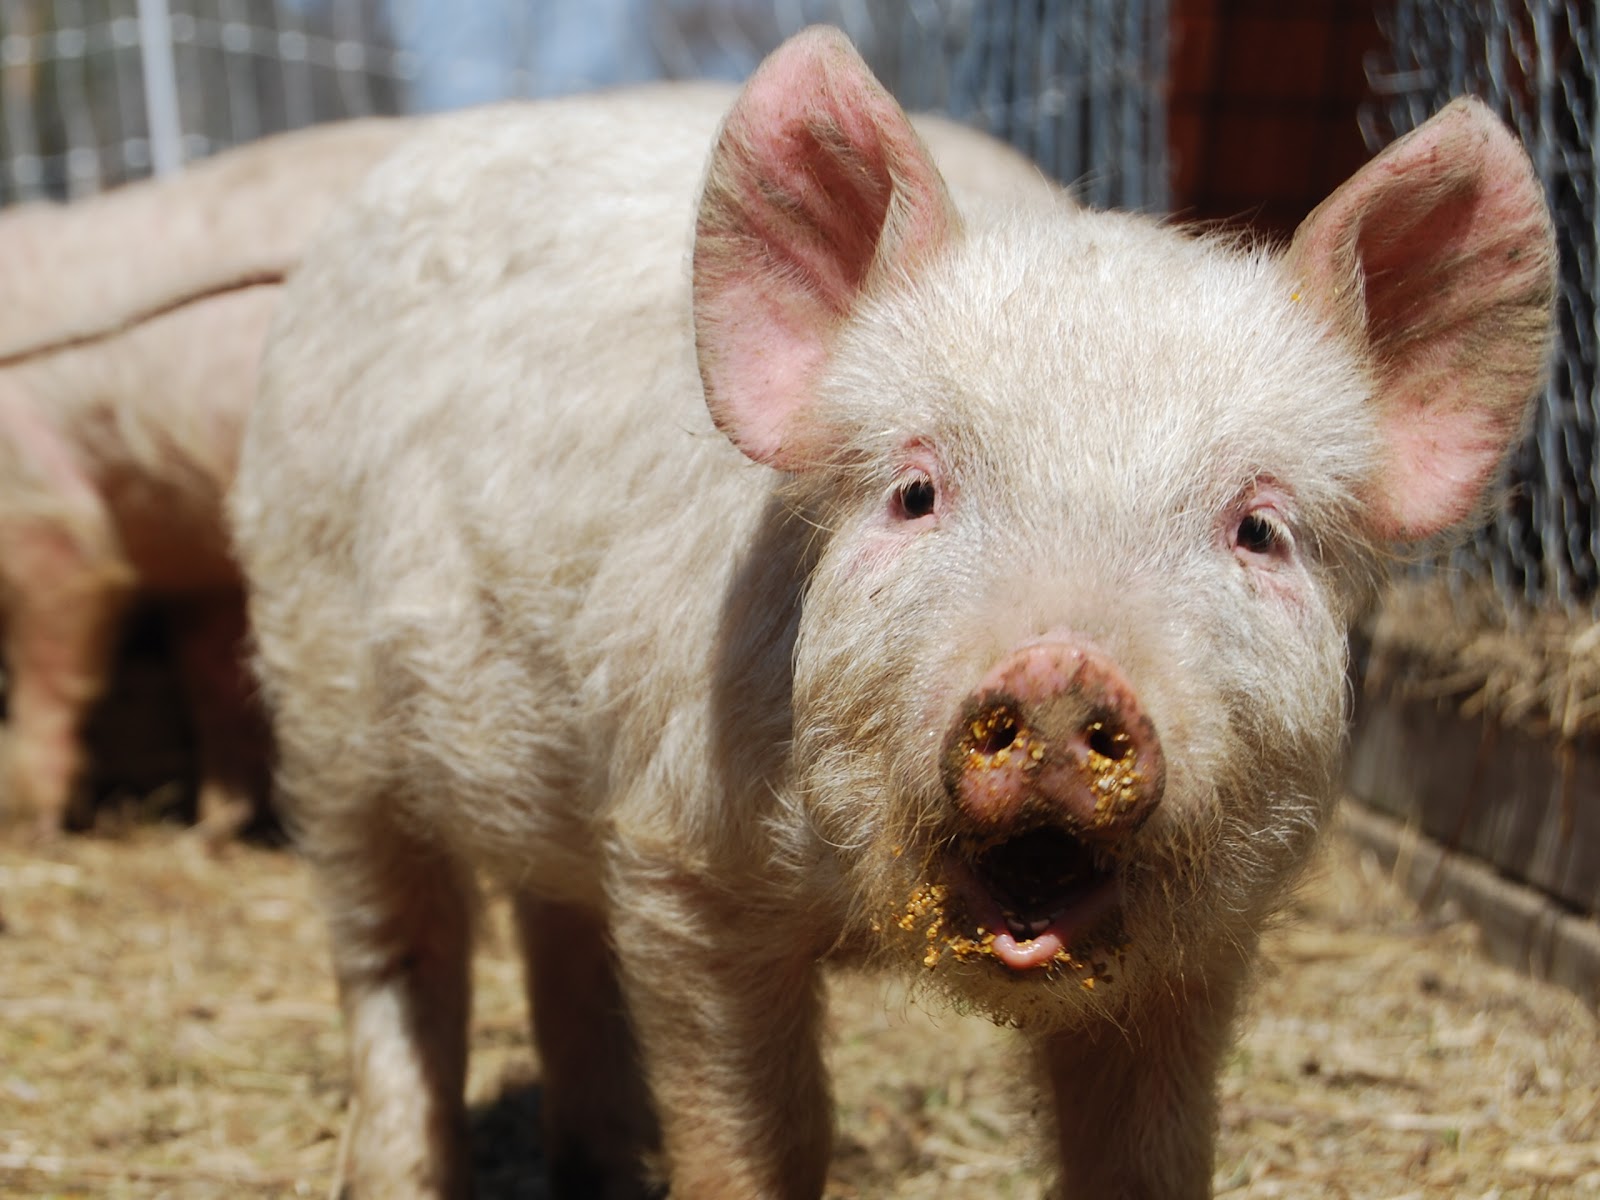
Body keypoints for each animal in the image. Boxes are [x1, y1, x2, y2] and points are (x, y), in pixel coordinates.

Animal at [0, 118, 415, 837]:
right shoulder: (198, 569)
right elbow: (216, 683)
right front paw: (211, 831)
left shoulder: (38, 496)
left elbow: (53, 658)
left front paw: (28, 826)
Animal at [231, 28, 1556, 1200]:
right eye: (914, 491)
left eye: (1259, 530)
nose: (1061, 676)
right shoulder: (682, 856)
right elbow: (760, 1144)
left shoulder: (1205, 949)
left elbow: (1148, 1161)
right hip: (319, 701)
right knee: (395, 955)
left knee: (549, 924)